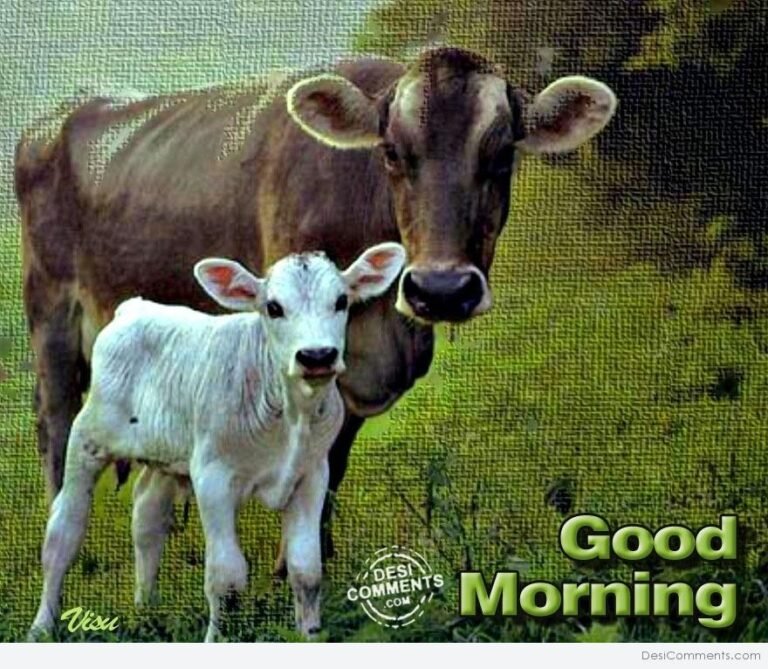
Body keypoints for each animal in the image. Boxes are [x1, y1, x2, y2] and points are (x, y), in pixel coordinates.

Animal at [14, 47, 617, 560]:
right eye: (391, 152)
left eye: (503, 153)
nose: (441, 289)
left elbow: (333, 460)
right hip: (52, 310)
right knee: (56, 417)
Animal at [28, 243, 407, 641]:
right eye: (273, 307)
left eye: (340, 301)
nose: (316, 355)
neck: (292, 412)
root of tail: (134, 308)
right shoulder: (213, 476)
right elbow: (226, 576)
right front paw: (217, 637)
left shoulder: (313, 474)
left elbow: (306, 569)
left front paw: (310, 634)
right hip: (87, 438)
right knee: (63, 533)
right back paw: (42, 626)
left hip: (168, 454)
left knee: (147, 518)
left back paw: (146, 608)